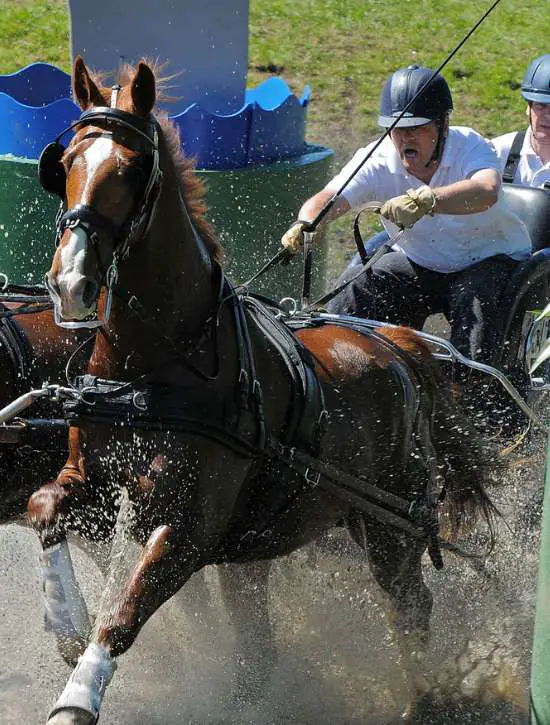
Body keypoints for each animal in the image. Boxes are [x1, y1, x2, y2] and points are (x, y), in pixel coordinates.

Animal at [27, 55, 499, 725]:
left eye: (131, 168)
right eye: (64, 163)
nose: (70, 282)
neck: (156, 366)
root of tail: (397, 346)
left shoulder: (188, 529)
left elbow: (122, 616)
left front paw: (76, 698)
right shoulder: (88, 479)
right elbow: (42, 510)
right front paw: (65, 623)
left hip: (394, 525)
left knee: (411, 606)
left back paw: (422, 701)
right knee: (261, 645)